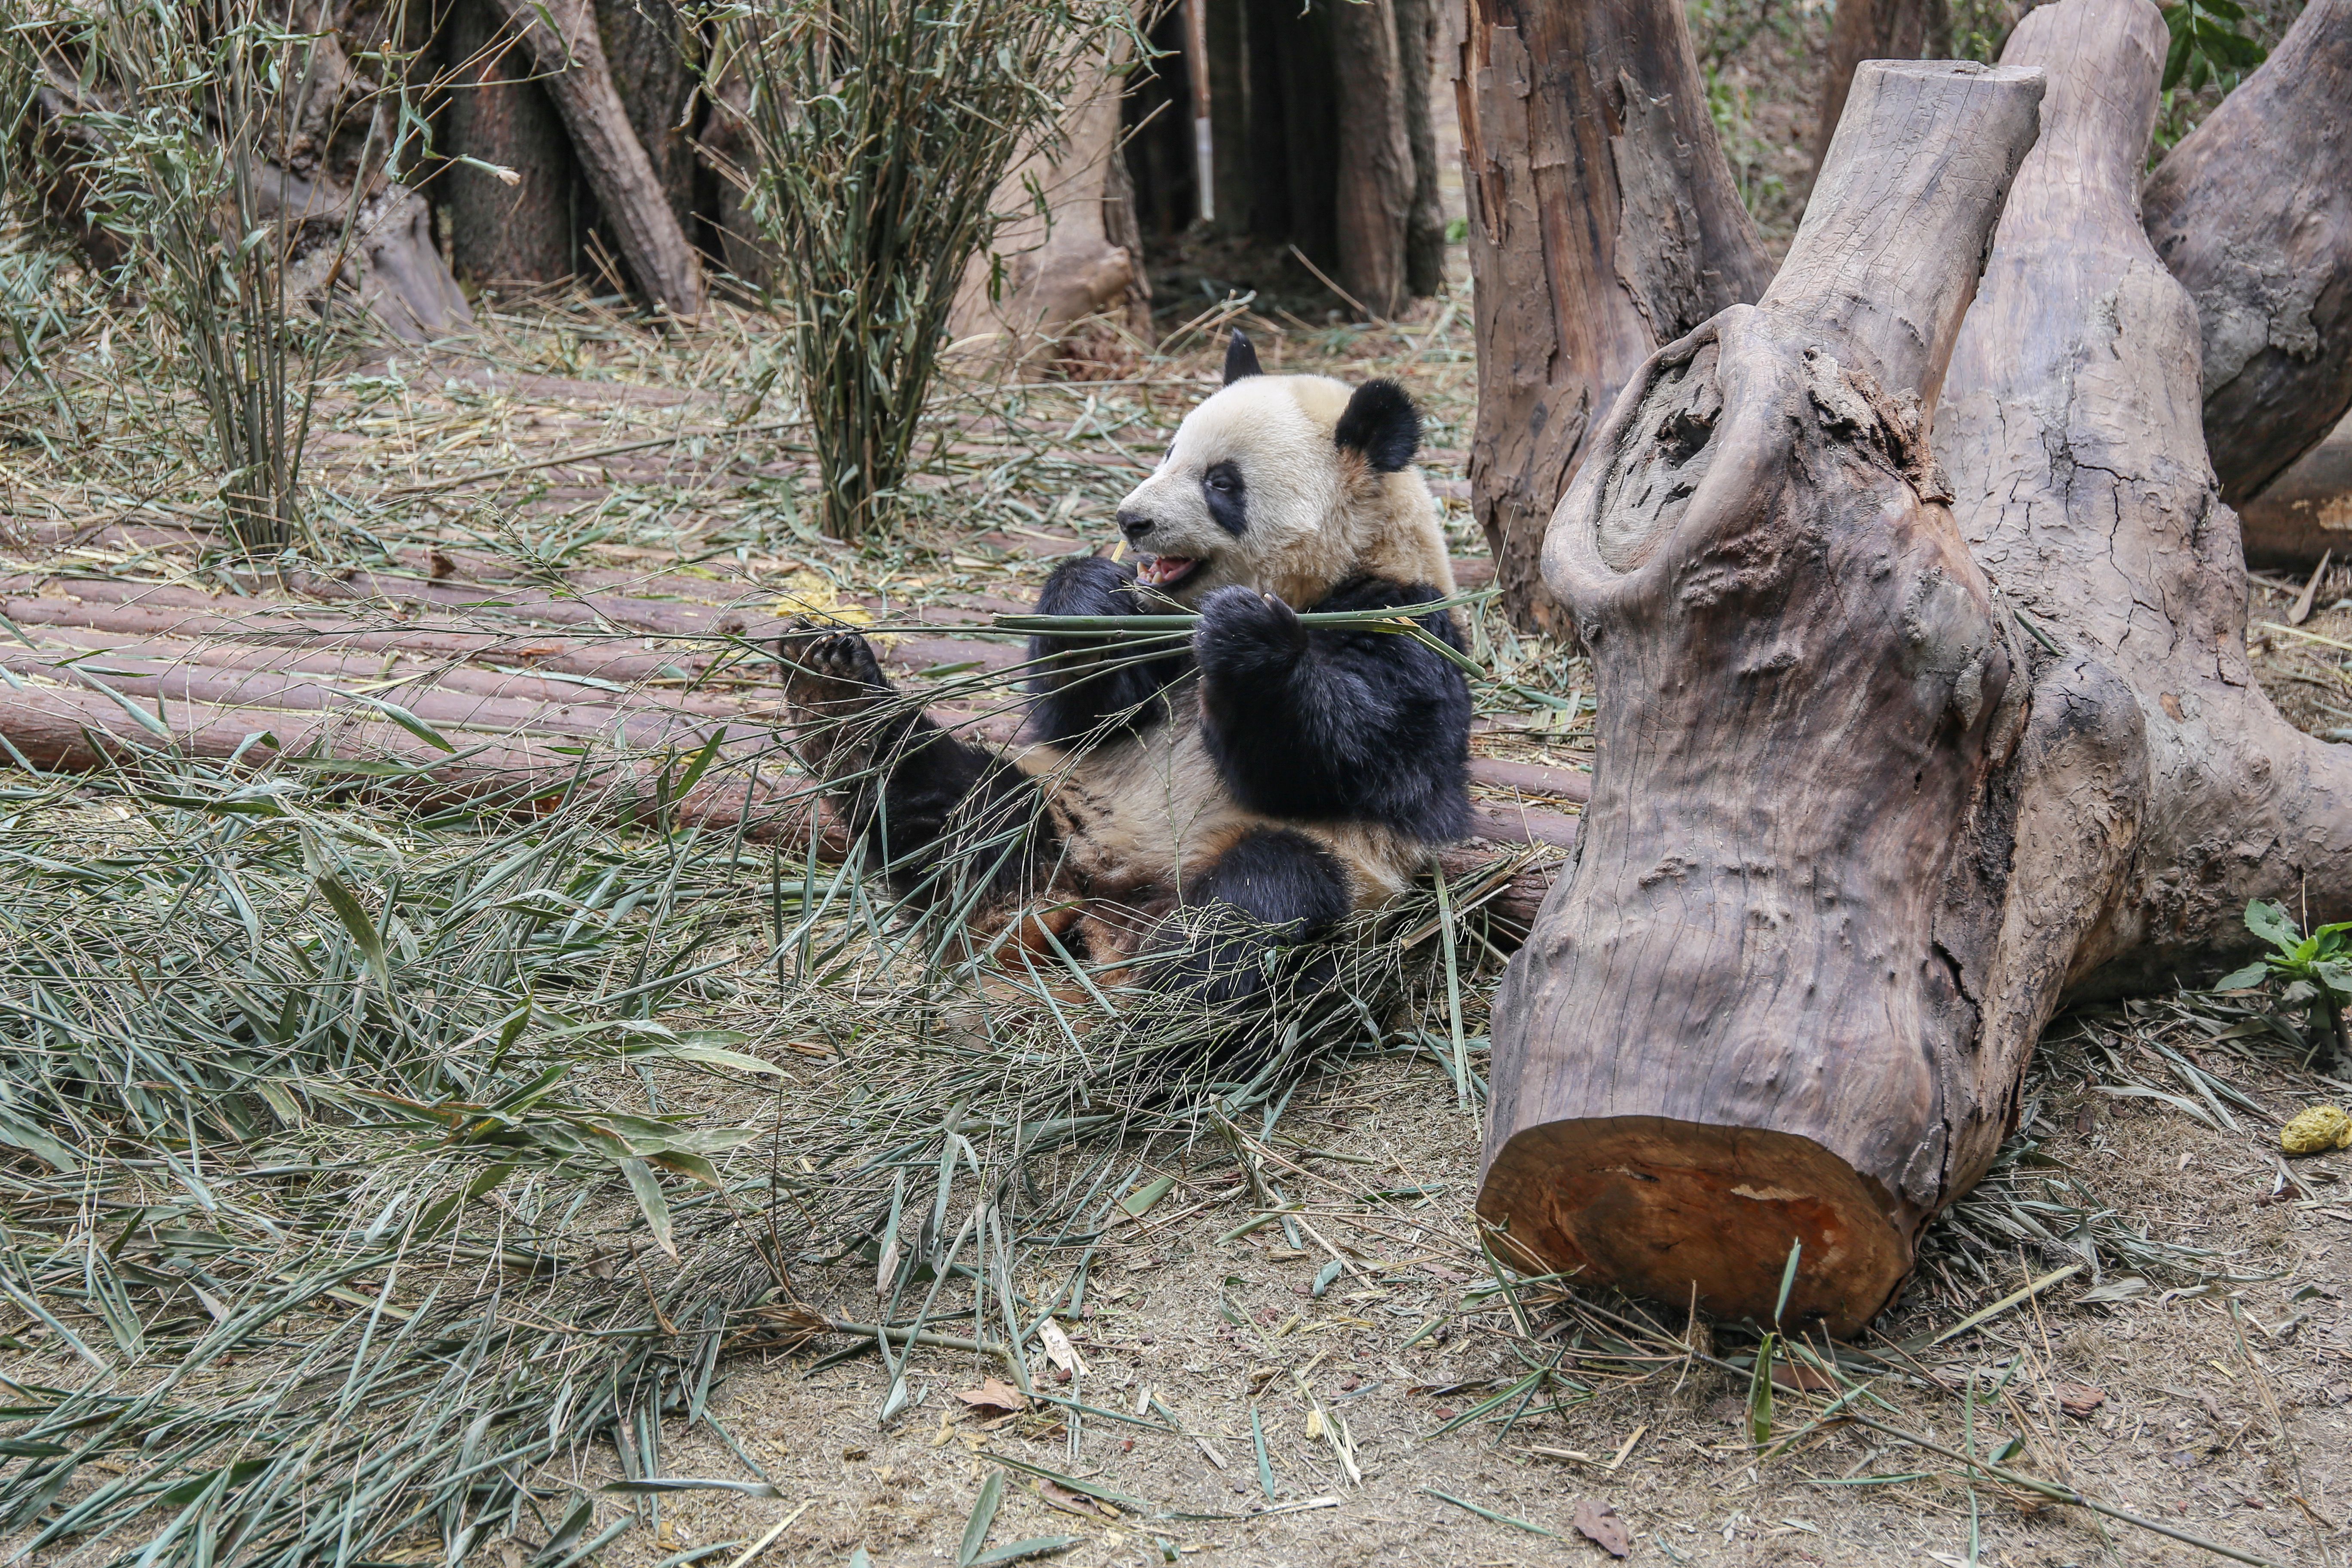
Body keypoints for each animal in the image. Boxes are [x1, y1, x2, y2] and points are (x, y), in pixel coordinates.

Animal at [776, 330, 1472, 1053]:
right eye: (1168, 454)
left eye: (1221, 482)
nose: (1131, 520)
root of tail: (1091, 907)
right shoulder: (1151, 638)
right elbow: (1083, 715)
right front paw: (1089, 591)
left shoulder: (1402, 624)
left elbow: (1341, 760)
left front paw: (1245, 633)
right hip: (1057, 804)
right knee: (944, 798)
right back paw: (833, 694)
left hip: (1321, 866)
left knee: (1256, 907)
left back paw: (1155, 1006)